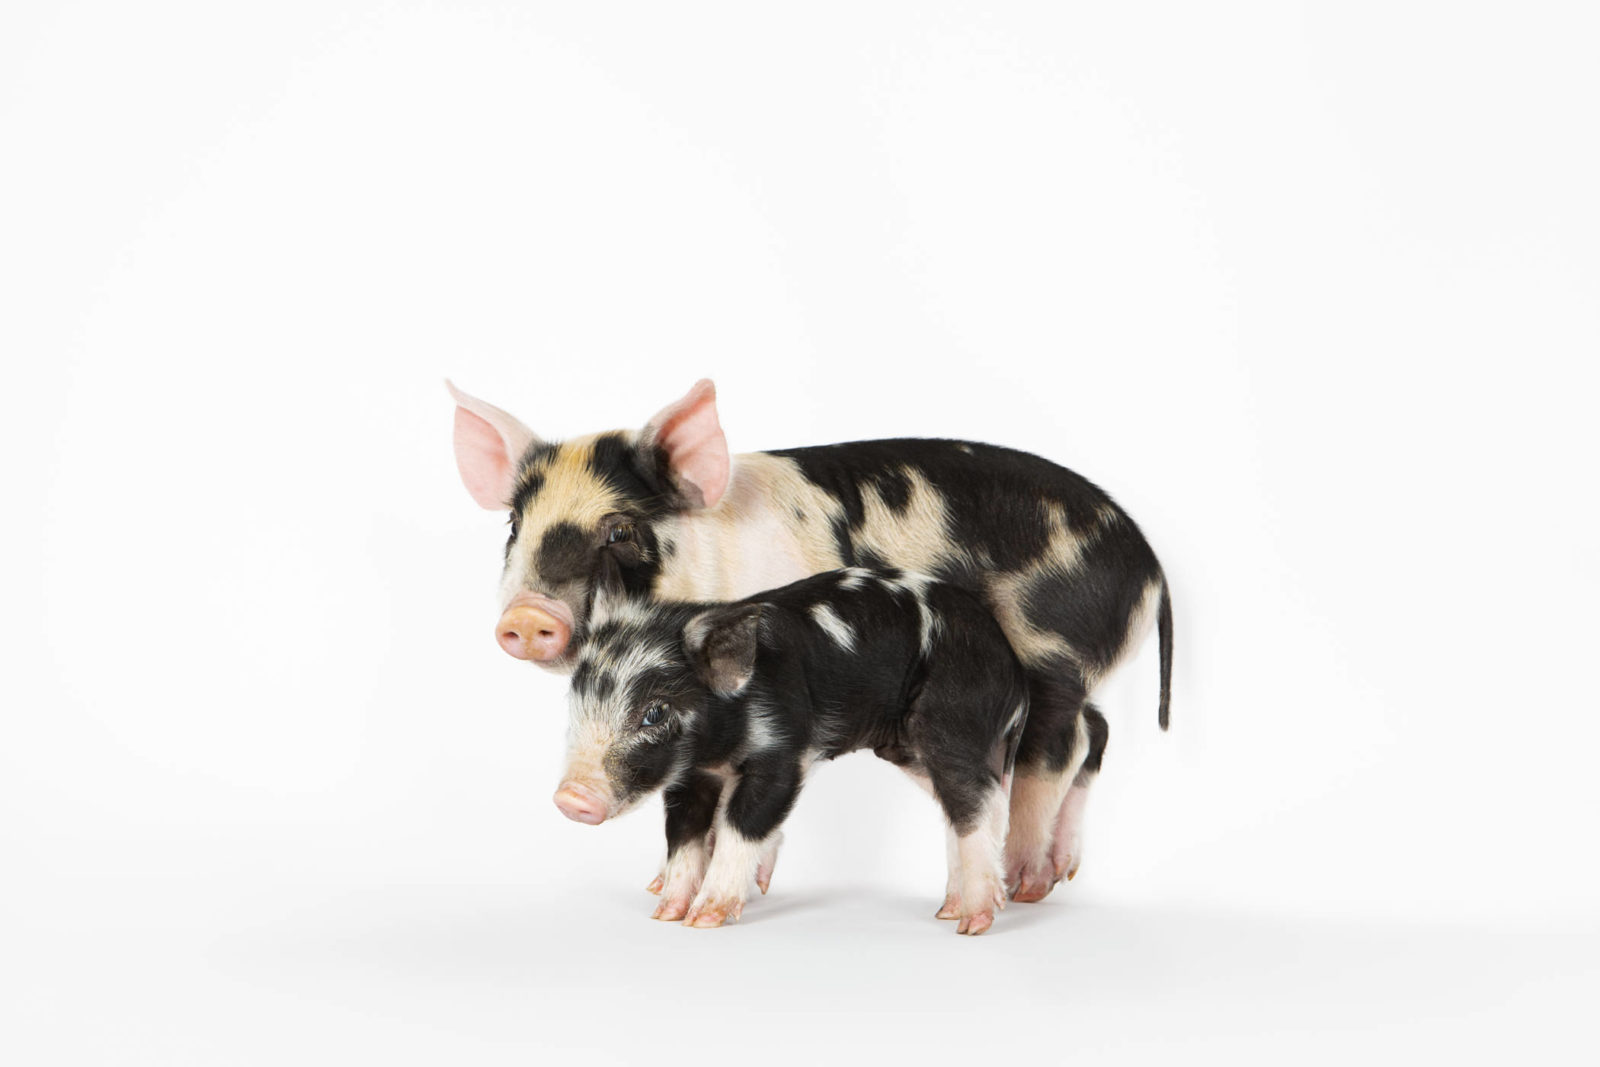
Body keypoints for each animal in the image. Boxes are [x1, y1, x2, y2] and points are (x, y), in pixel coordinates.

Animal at [555, 562, 1030, 933]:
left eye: (654, 712)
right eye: (576, 700)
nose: (569, 798)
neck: (719, 749)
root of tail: (1011, 667)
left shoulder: (783, 752)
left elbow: (743, 824)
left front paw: (704, 919)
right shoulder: (689, 776)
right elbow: (683, 836)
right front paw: (666, 913)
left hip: (951, 718)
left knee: (975, 800)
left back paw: (972, 922)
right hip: (906, 748)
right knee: (978, 801)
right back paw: (951, 910)